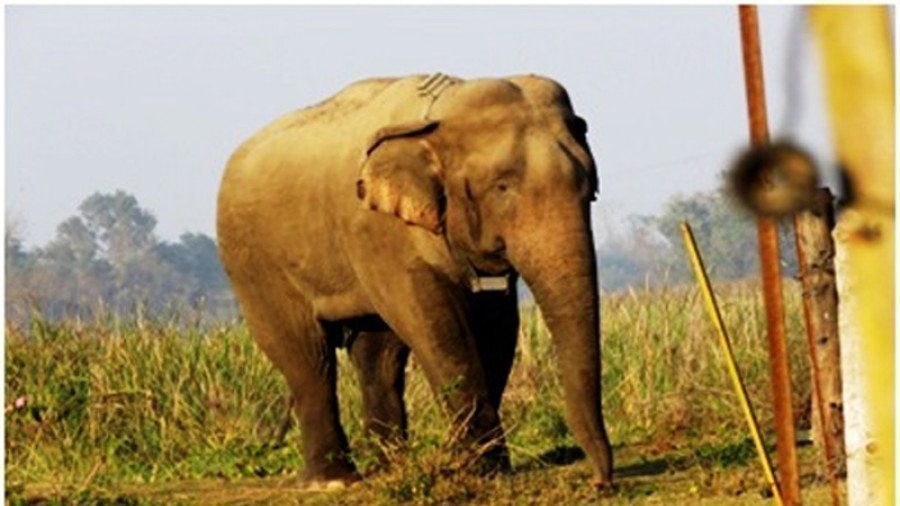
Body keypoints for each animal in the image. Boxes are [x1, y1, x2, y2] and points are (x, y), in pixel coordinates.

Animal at [216, 73, 613, 489]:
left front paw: (476, 465)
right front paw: (482, 471)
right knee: (308, 357)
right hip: (252, 261)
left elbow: (497, 327)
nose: (600, 482)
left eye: (590, 188)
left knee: (379, 359)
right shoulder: (380, 230)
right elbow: (435, 325)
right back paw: (333, 481)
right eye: (502, 186)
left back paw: (388, 467)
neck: (439, 112)